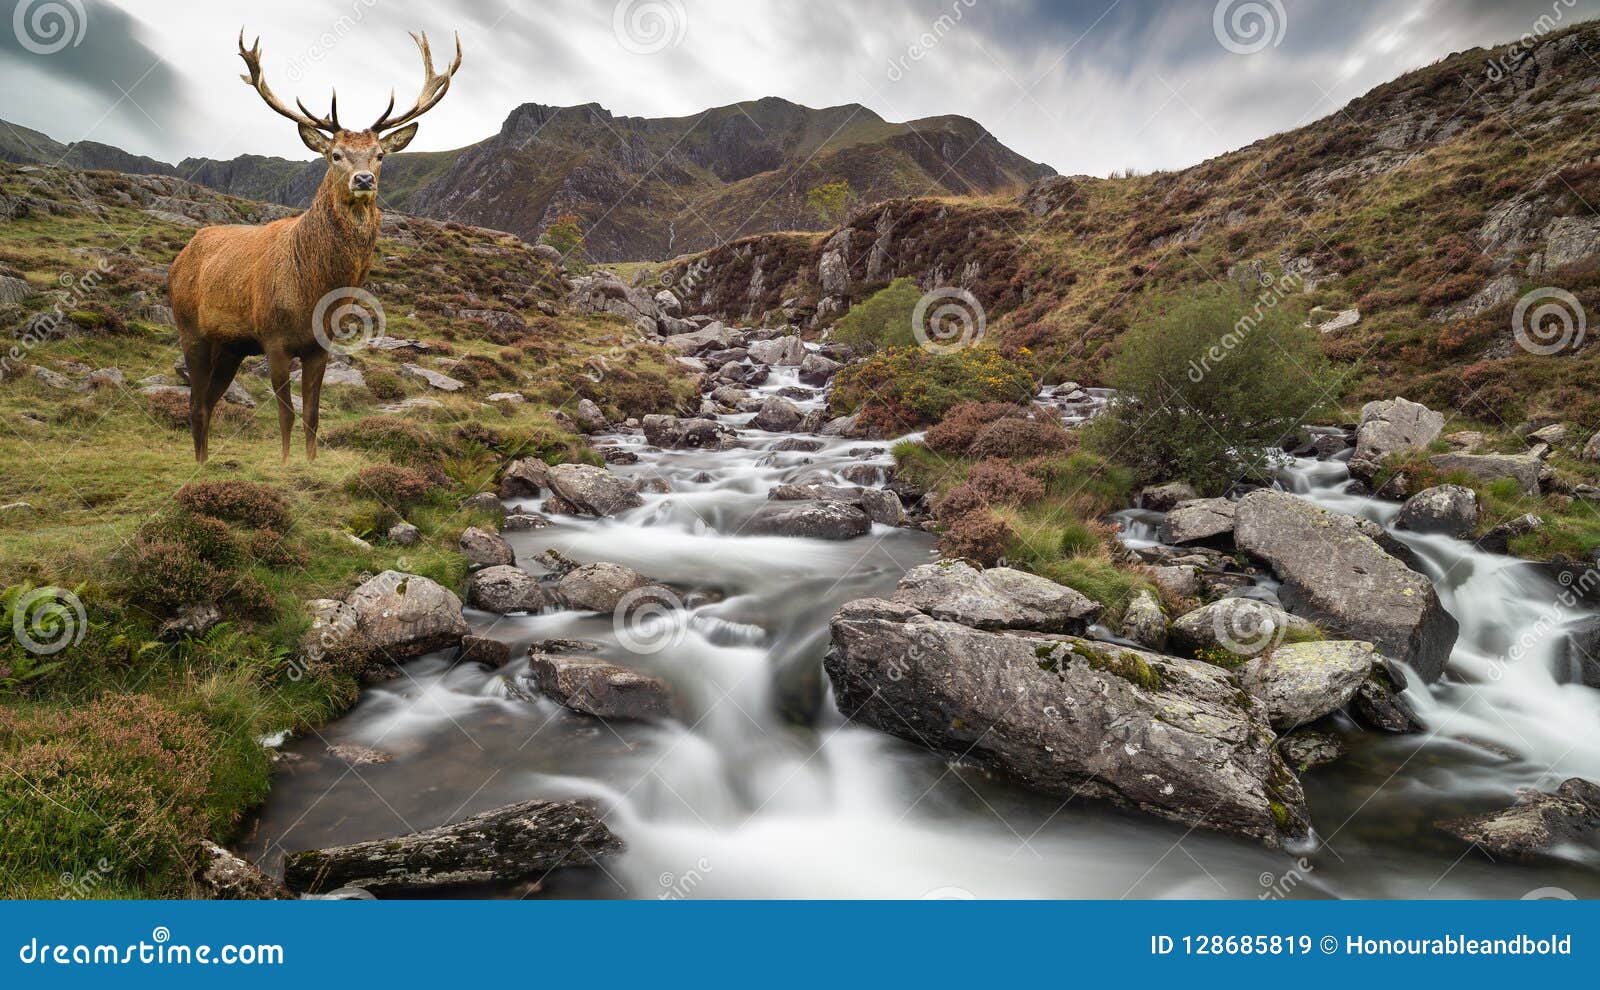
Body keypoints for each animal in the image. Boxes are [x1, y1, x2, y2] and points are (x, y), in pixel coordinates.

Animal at [167, 30, 462, 463]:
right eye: (335, 154)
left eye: (379, 155)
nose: (363, 180)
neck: (314, 289)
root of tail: (182, 255)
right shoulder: (273, 339)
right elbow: (286, 415)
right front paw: (286, 464)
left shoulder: (320, 346)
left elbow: (312, 415)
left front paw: (308, 461)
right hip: (191, 329)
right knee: (194, 401)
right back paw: (201, 464)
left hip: (231, 347)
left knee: (207, 401)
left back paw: (205, 463)